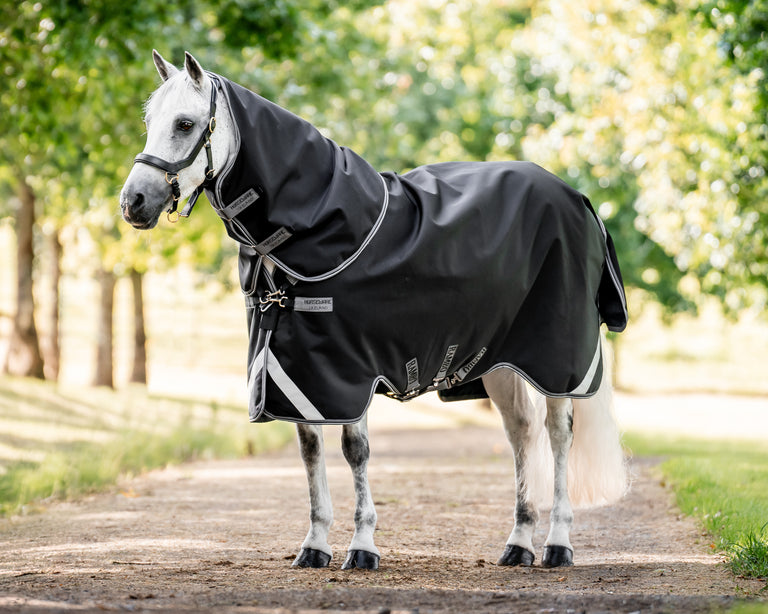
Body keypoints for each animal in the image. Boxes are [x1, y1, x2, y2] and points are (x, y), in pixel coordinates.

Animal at [120, 51, 629, 570]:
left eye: (185, 123)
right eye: (148, 121)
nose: (133, 202)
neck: (319, 227)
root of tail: (580, 199)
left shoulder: (349, 369)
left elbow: (355, 450)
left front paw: (362, 547)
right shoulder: (300, 371)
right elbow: (309, 449)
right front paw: (314, 546)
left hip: (556, 360)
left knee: (558, 433)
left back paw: (557, 544)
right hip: (500, 360)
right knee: (521, 433)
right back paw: (518, 543)